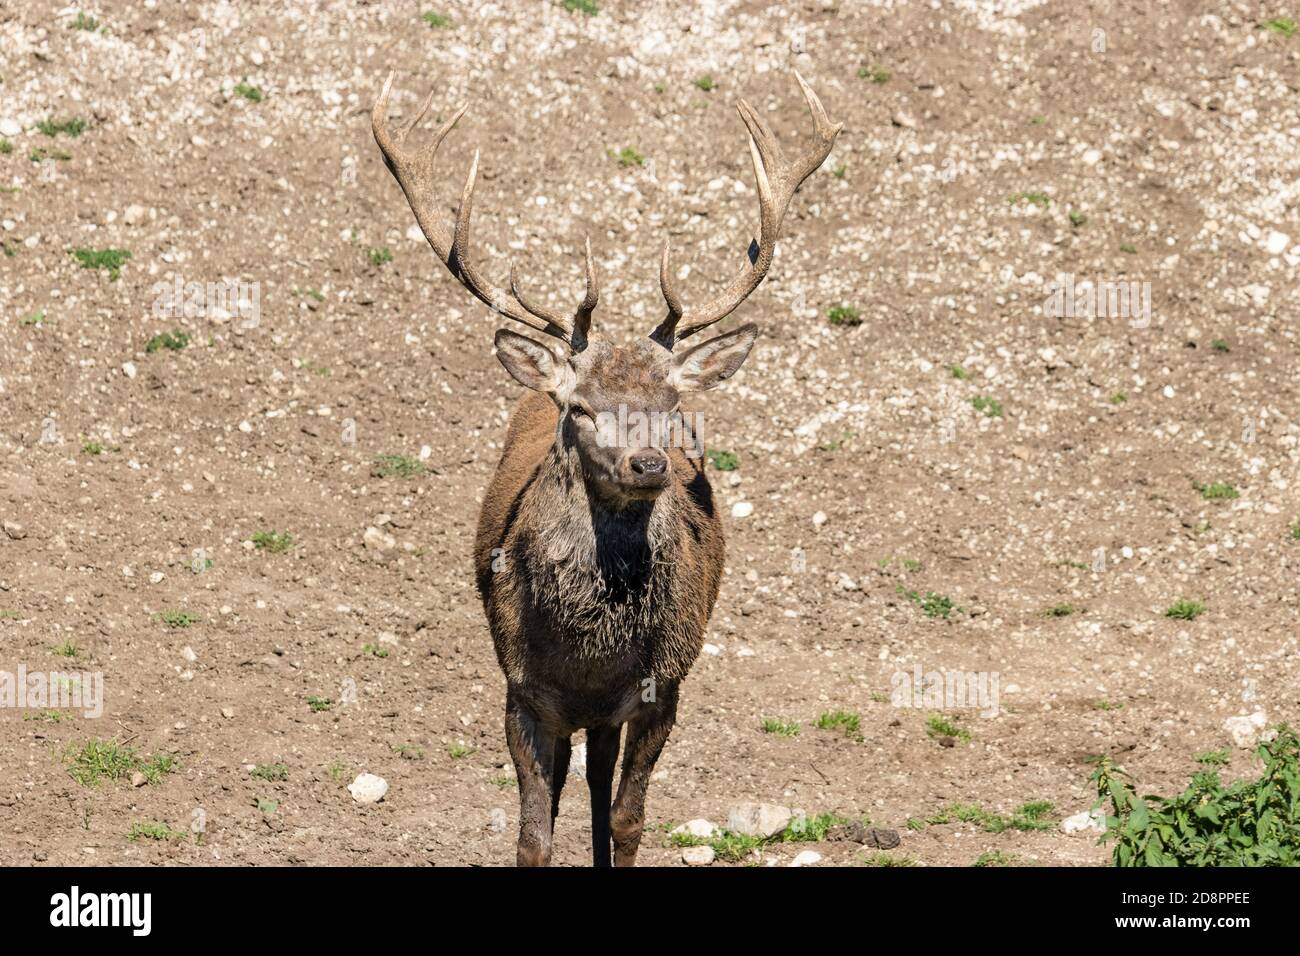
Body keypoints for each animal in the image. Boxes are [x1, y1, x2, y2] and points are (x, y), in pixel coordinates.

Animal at [373, 71, 841, 866]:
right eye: (584, 407)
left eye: (673, 405)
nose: (650, 462)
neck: (591, 653)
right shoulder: (523, 688)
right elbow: (533, 833)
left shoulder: (664, 684)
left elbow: (626, 819)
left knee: (597, 785)